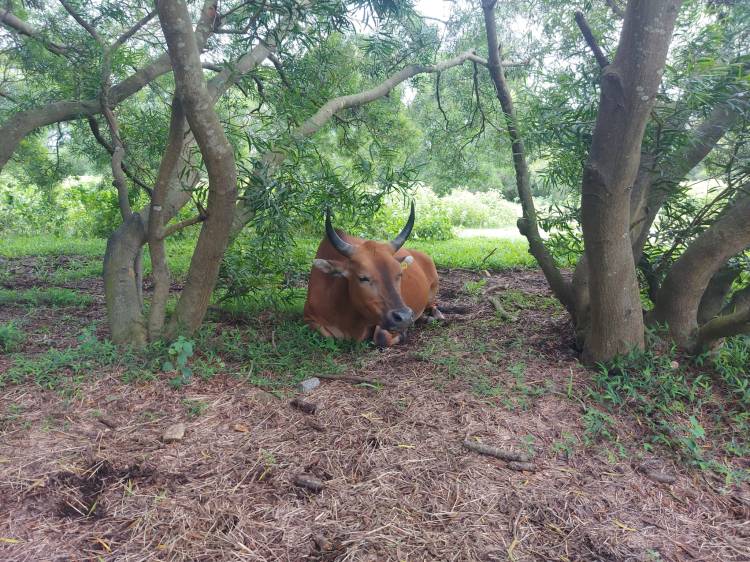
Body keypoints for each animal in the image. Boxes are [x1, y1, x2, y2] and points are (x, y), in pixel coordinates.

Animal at [304, 203, 443, 347]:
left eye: (399, 274)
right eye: (363, 278)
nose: (404, 317)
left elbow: (381, 337)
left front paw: (402, 333)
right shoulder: (309, 318)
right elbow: (328, 335)